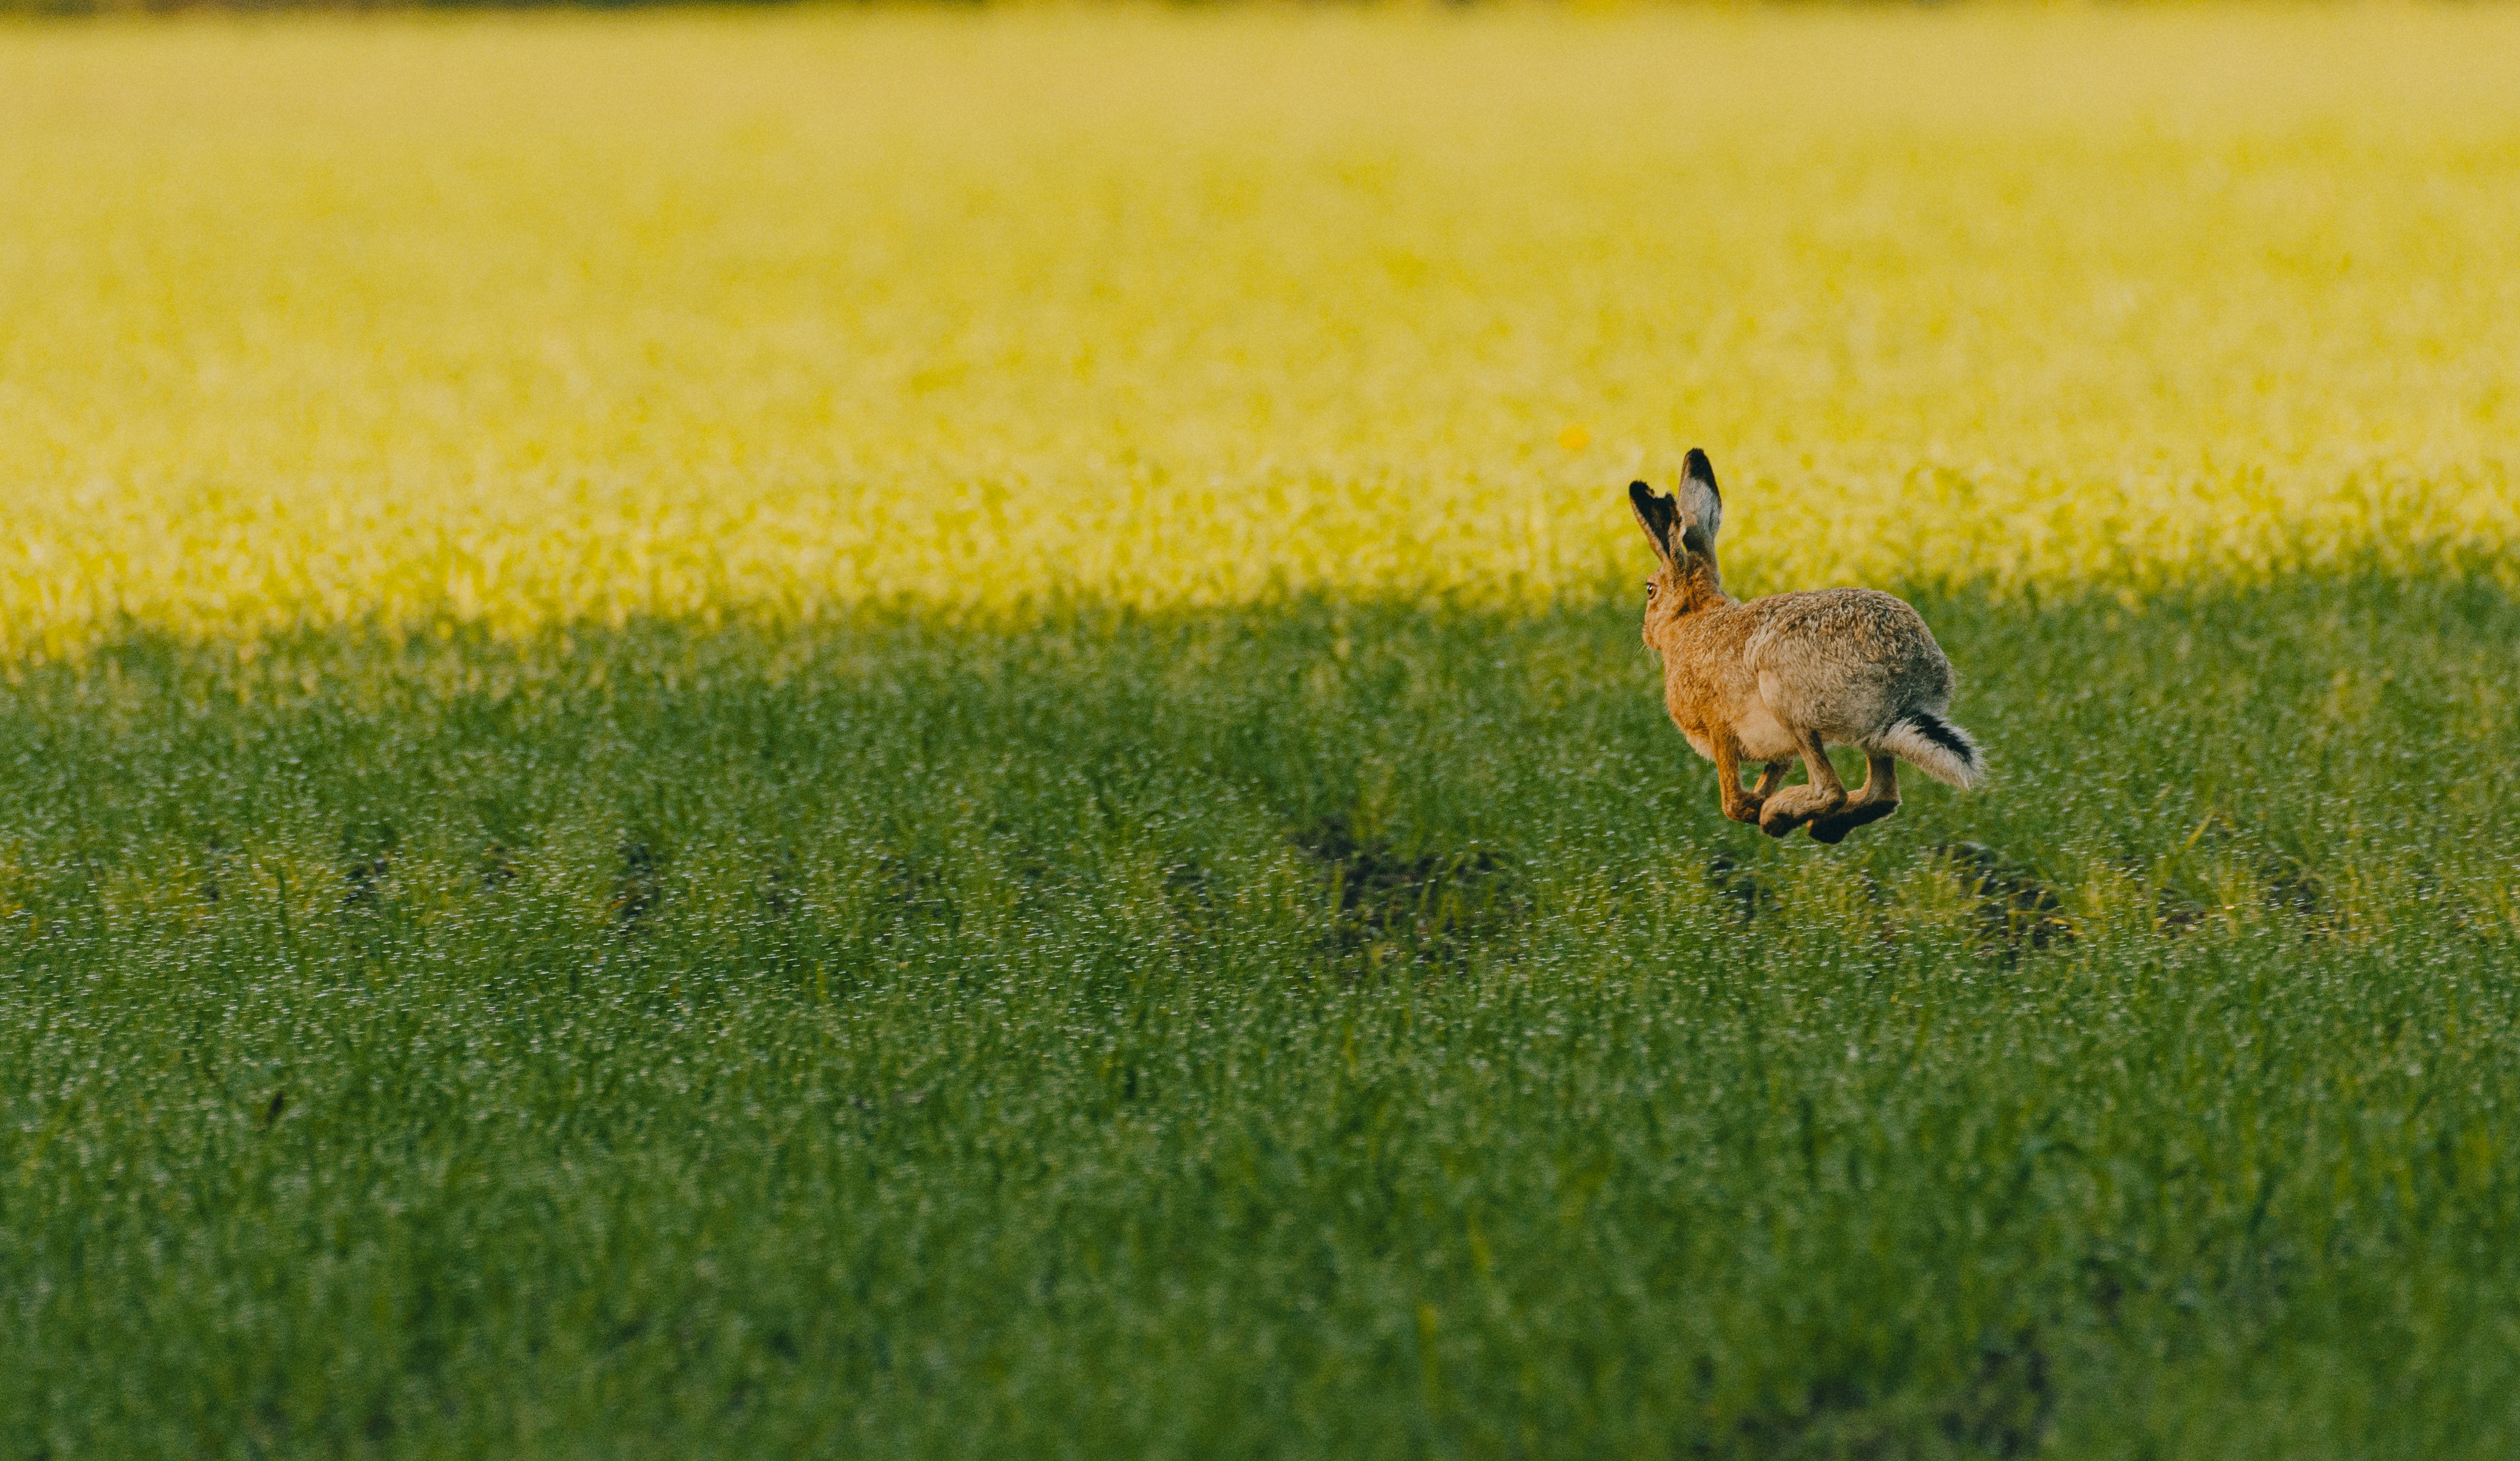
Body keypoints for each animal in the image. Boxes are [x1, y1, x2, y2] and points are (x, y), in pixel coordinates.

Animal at [1630, 449, 1983, 843]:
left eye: (1650, 590)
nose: (1646, 634)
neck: (1692, 619)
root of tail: (1909, 684)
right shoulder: (1775, 752)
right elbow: (1769, 773)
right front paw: (1764, 802)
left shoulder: (1720, 724)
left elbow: (1732, 801)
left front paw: (1757, 808)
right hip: (1872, 737)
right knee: (1882, 793)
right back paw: (1821, 825)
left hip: (1789, 705)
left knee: (1831, 789)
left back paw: (1779, 814)